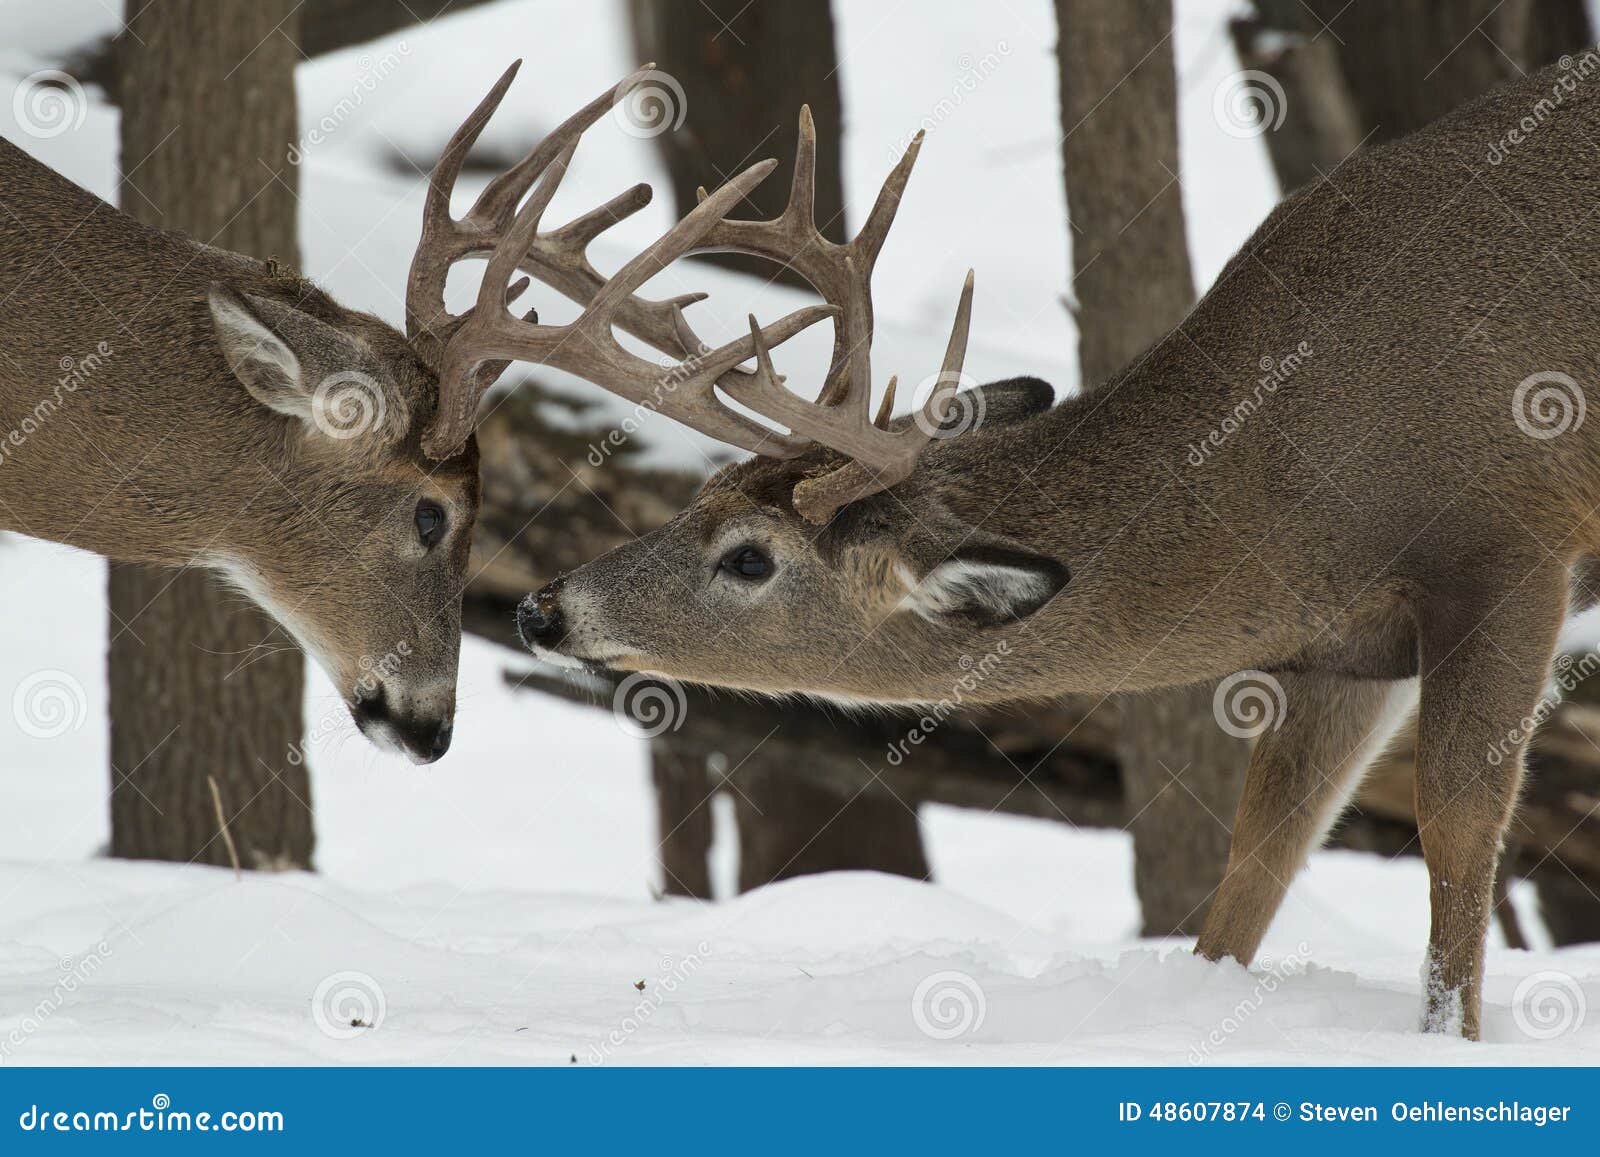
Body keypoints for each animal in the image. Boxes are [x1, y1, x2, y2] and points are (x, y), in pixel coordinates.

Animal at [444, 55, 1600, 1040]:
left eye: (748, 555)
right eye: (698, 496)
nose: (544, 605)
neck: (1286, 467)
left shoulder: (1507, 550)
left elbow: (1456, 828)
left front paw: (1450, 1040)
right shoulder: (1343, 649)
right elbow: (1256, 862)